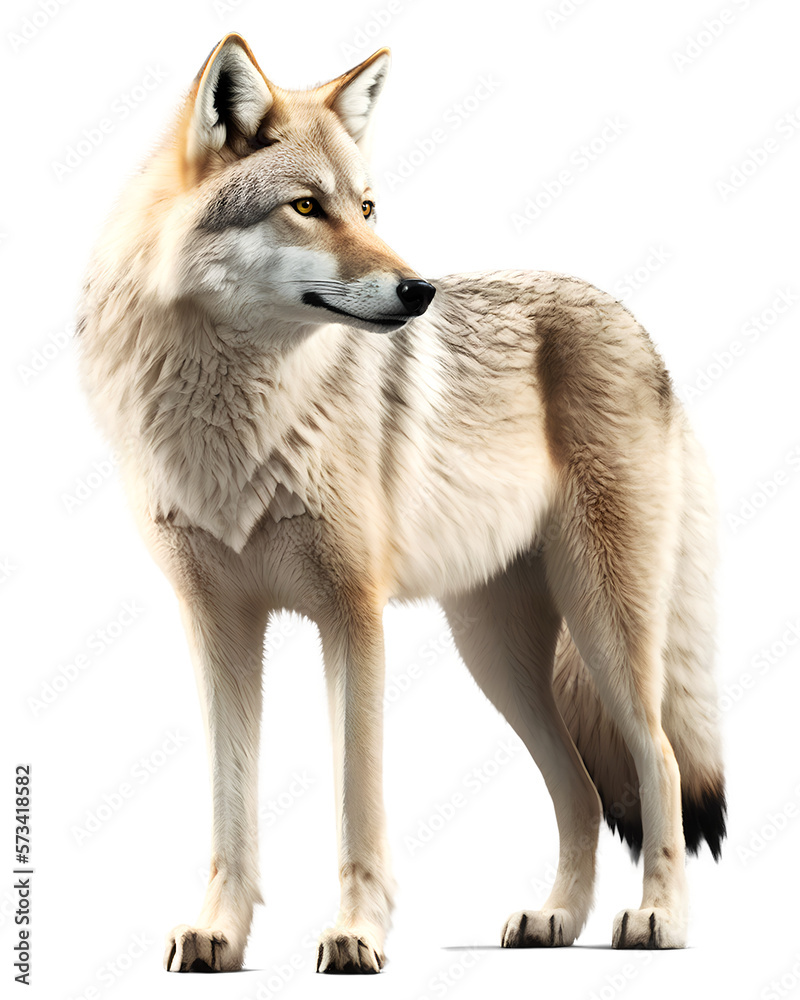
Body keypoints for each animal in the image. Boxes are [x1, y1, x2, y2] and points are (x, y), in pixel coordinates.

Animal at [77, 34, 726, 973]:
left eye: (368, 207)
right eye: (307, 207)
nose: (420, 292)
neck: (235, 417)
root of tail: (640, 331)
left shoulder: (354, 616)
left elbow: (359, 803)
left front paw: (355, 934)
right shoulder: (217, 627)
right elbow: (230, 810)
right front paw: (218, 934)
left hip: (605, 629)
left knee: (661, 762)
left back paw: (657, 921)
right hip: (496, 655)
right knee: (577, 787)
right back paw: (554, 919)